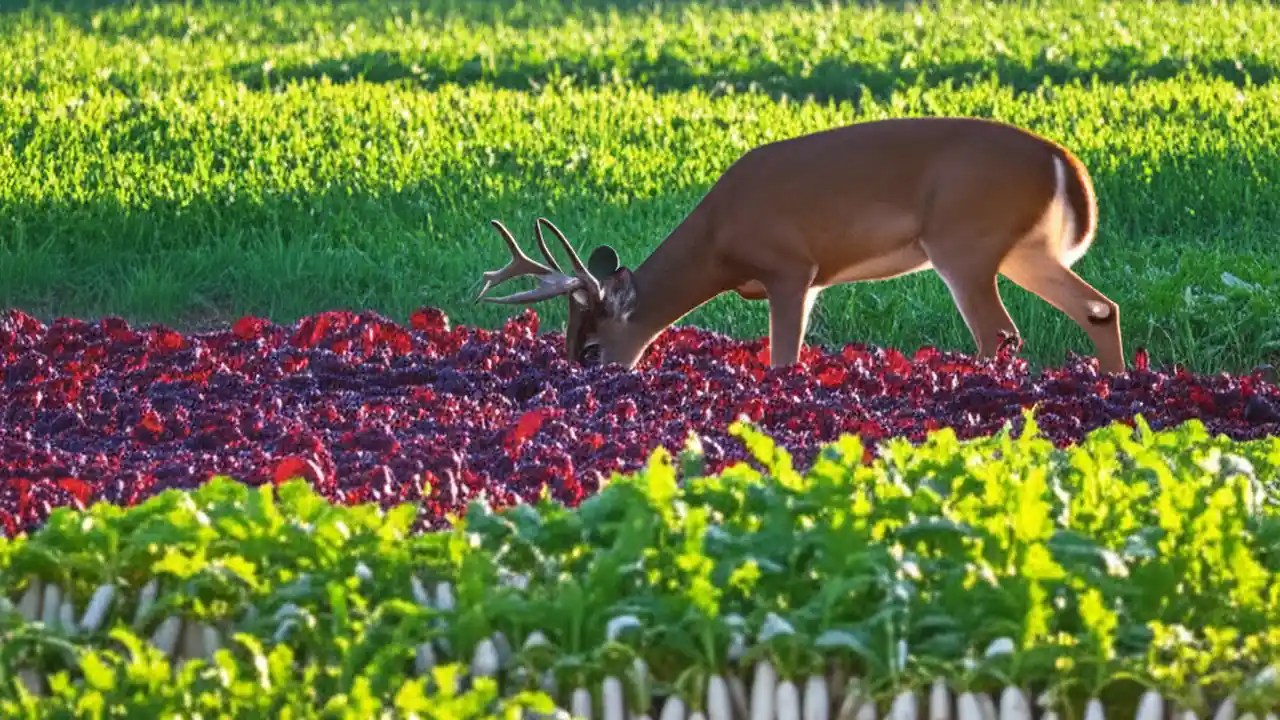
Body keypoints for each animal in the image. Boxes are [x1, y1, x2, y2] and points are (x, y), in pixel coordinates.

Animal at [472, 116, 1126, 375]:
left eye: (589, 349)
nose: (581, 380)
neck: (719, 240)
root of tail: (1062, 162)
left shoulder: (790, 268)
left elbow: (783, 358)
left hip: (965, 244)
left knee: (999, 332)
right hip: (1023, 252)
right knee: (1100, 307)